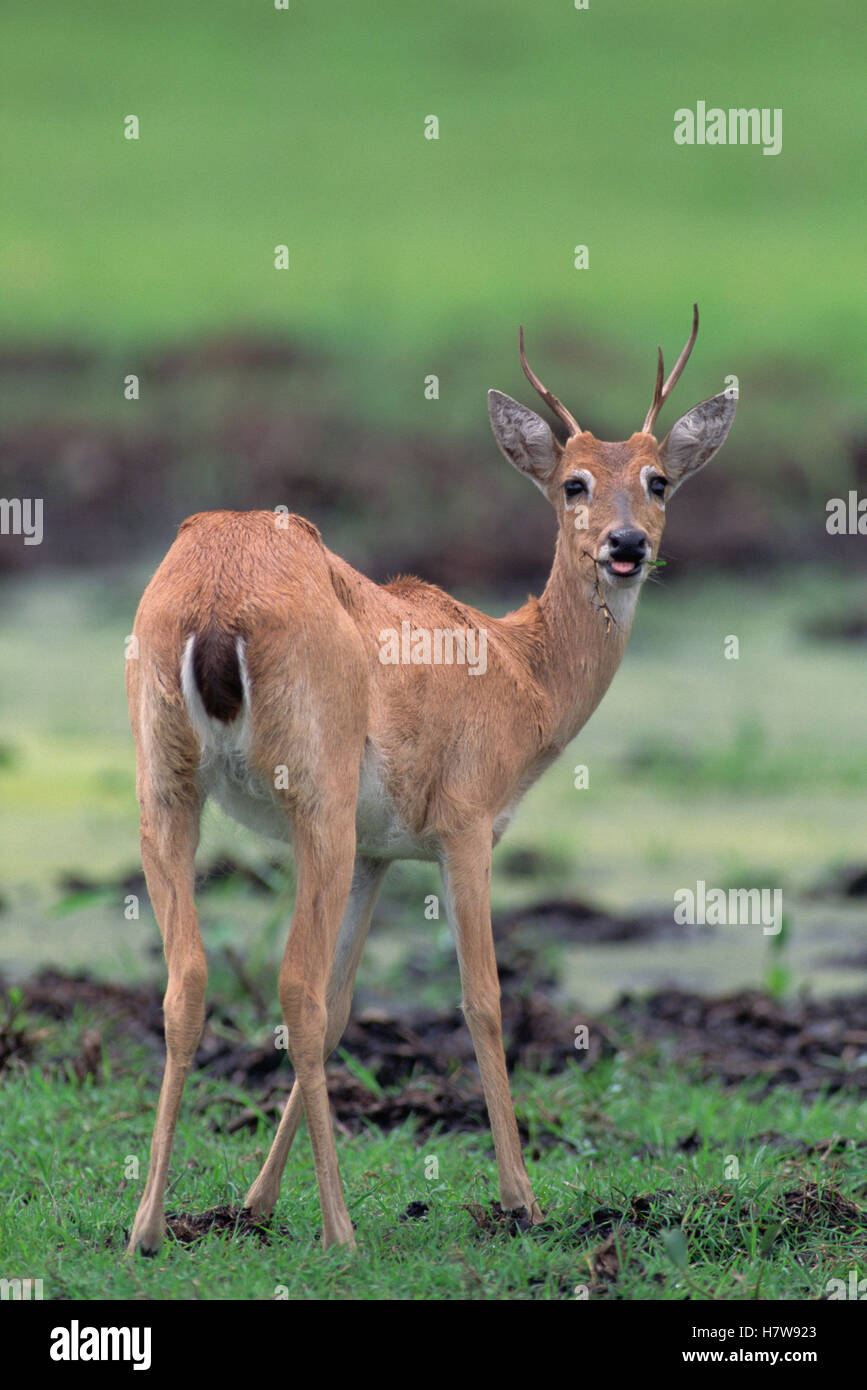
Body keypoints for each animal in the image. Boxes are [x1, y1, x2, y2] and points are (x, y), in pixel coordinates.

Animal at [125, 305, 736, 1255]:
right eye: (572, 482)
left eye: (658, 479)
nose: (626, 545)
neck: (521, 675)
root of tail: (213, 607)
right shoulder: (465, 825)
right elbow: (481, 999)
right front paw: (522, 1199)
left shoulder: (380, 851)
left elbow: (347, 1007)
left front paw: (254, 1203)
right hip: (316, 799)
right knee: (291, 988)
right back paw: (340, 1231)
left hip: (167, 789)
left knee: (189, 981)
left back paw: (148, 1228)